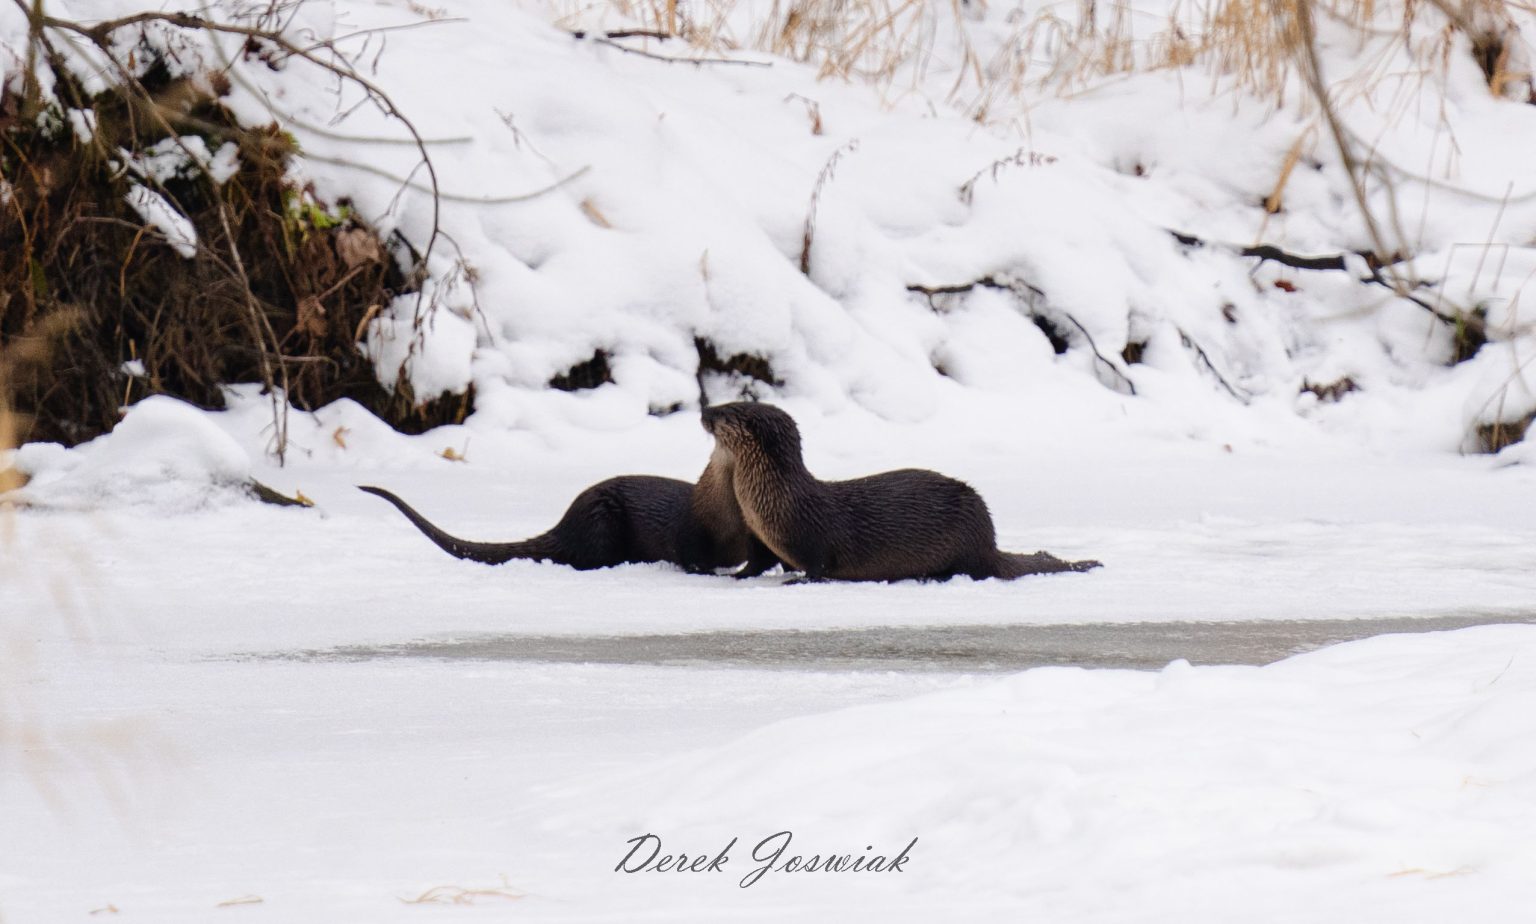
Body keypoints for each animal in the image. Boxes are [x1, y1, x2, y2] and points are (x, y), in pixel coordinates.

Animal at [701, 402, 1101, 582]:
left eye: (725, 413)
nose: (703, 410)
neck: (775, 500)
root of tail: (989, 541)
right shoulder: (760, 538)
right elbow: (757, 562)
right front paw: (736, 575)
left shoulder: (813, 539)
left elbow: (818, 567)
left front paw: (796, 580)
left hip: (964, 544)